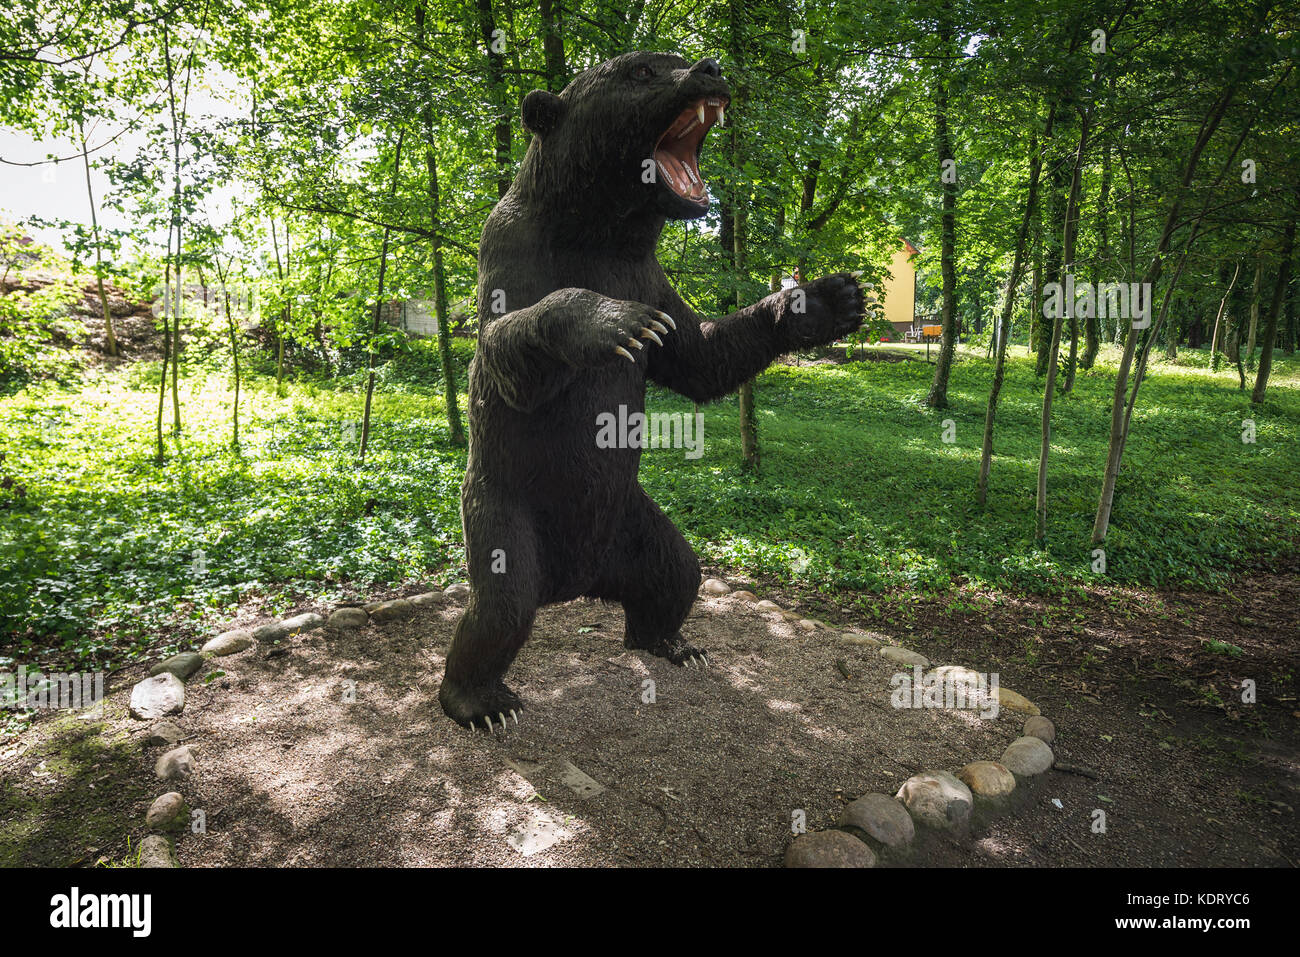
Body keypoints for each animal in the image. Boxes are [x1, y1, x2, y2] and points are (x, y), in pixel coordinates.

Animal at [438, 51, 865, 730]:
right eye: (640, 71)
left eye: (678, 59)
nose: (711, 65)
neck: (606, 229)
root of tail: (577, 584)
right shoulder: (512, 251)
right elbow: (506, 348)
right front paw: (613, 321)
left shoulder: (647, 272)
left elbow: (698, 356)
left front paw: (826, 298)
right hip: (506, 507)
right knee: (501, 603)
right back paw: (479, 701)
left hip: (631, 522)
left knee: (677, 570)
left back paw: (672, 641)